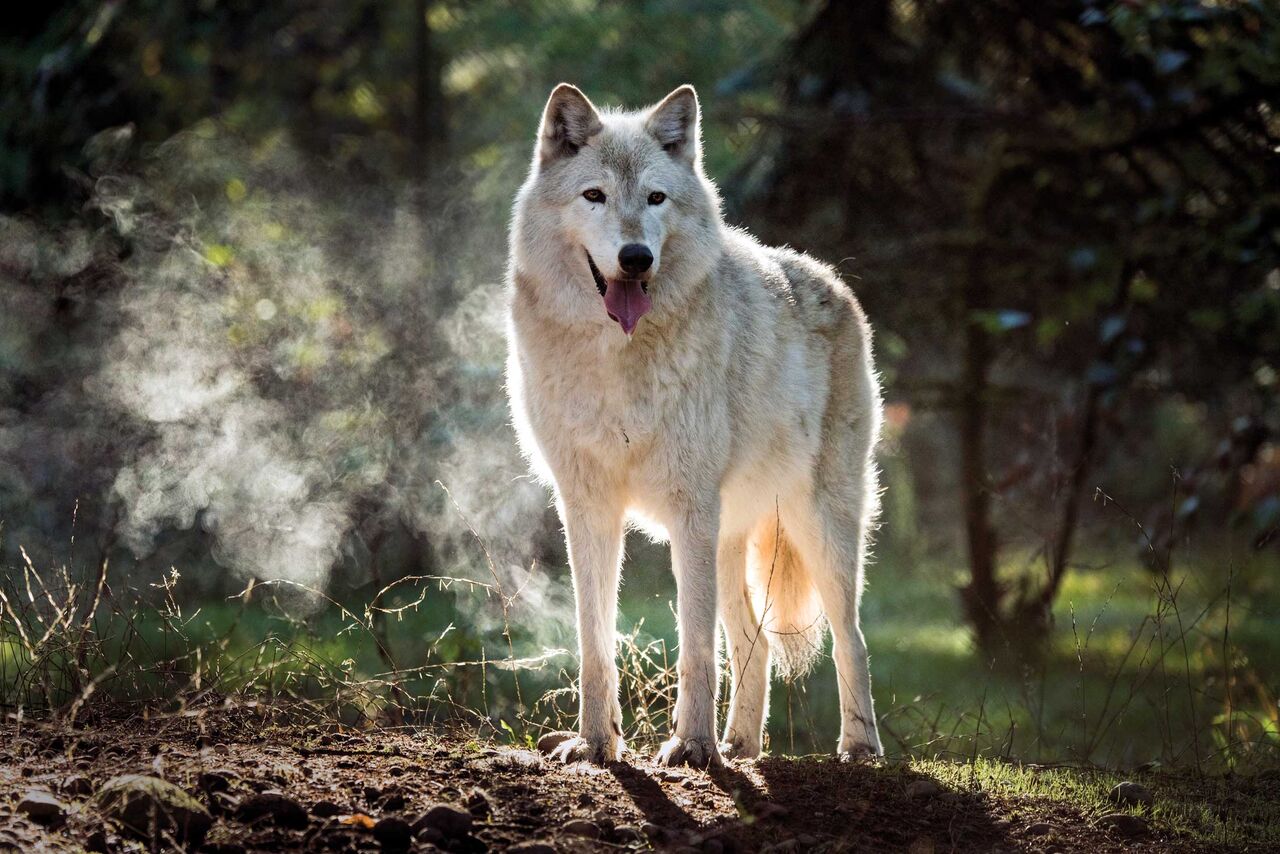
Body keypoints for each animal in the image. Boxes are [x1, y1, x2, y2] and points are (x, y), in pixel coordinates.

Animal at [505, 83, 884, 767]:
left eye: (657, 198)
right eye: (594, 195)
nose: (635, 257)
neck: (617, 363)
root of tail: (836, 282)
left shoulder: (690, 508)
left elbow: (695, 645)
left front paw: (691, 747)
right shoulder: (587, 506)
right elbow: (595, 642)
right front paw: (595, 743)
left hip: (820, 526)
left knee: (852, 639)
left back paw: (857, 747)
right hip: (734, 534)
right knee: (756, 642)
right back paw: (742, 745)